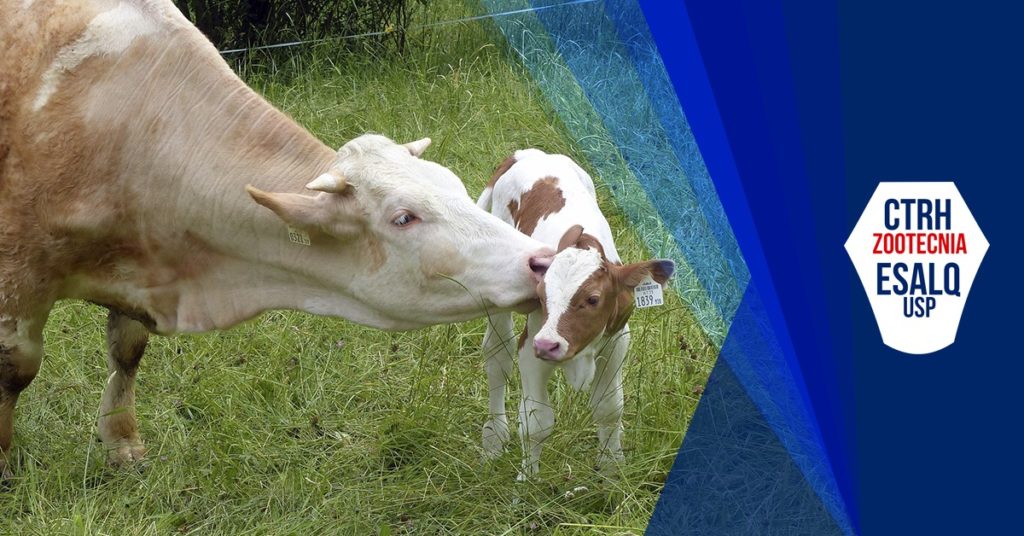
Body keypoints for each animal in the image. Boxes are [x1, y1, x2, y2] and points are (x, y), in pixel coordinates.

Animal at [0, 0, 555, 477]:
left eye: (455, 185)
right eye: (403, 218)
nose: (542, 260)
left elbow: (128, 350)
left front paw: (121, 443)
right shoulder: (18, 273)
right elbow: (17, 366)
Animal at [476, 149, 674, 478]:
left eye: (593, 299)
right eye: (541, 295)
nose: (549, 345)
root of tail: (528, 153)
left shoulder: (617, 341)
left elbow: (609, 408)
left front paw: (612, 470)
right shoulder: (532, 345)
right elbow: (536, 421)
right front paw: (527, 481)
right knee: (497, 357)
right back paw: (493, 438)